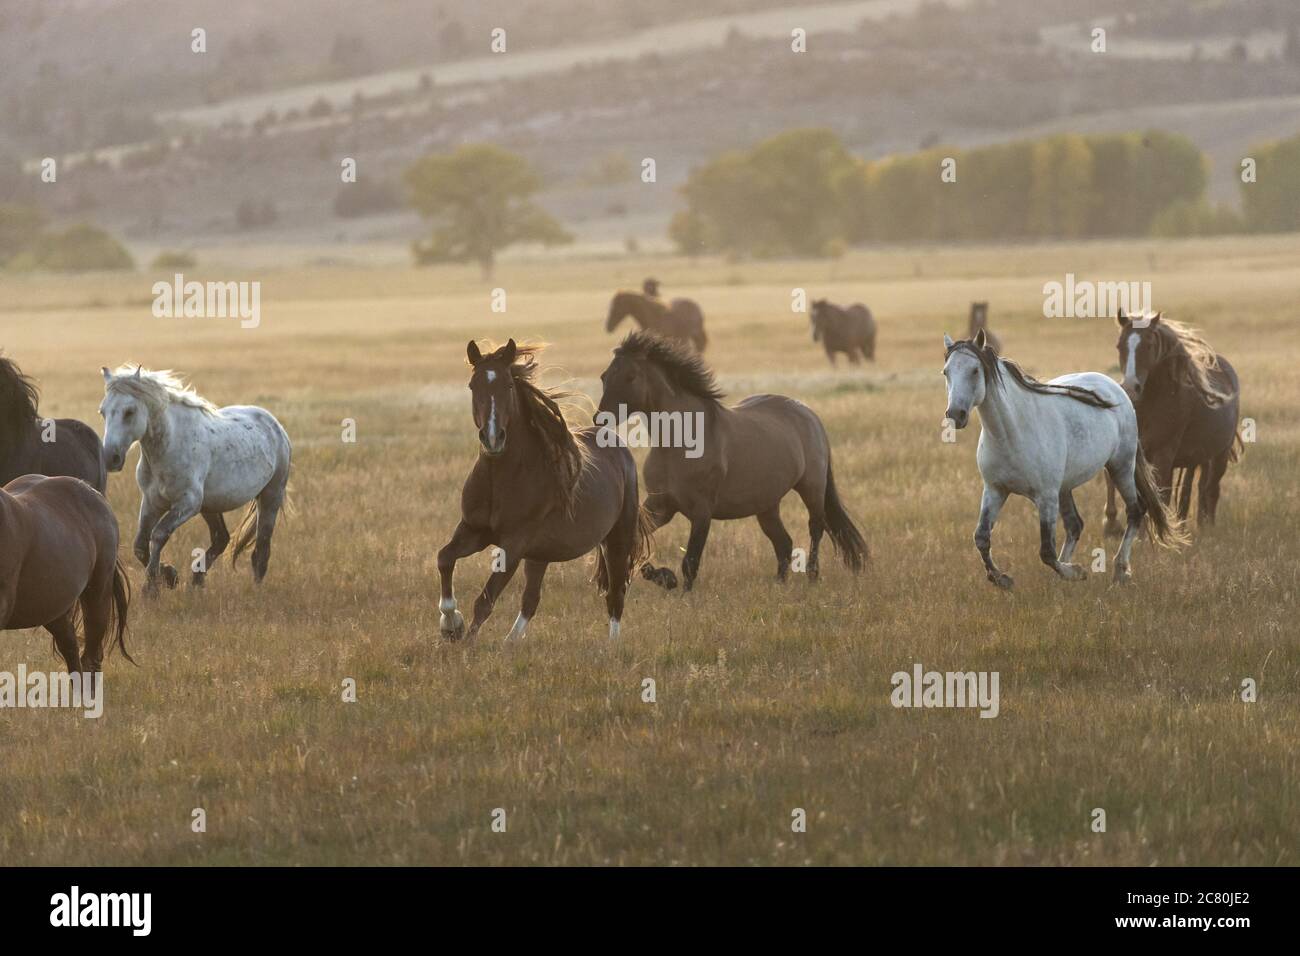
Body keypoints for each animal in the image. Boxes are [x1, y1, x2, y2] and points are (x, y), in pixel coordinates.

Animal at [98, 365, 292, 596]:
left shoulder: (187, 503)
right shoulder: (152, 502)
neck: (169, 446)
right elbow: (140, 545)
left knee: (261, 549)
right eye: (103, 412)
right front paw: (169, 575)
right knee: (221, 538)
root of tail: (276, 426)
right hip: (210, 506)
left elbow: (158, 535)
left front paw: (152, 588)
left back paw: (255, 590)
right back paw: (197, 581)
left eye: (129, 412)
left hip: (270, 496)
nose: (110, 458)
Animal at [437, 338, 650, 642]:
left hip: (616, 538)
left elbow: (485, 601)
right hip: (540, 554)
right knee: (531, 600)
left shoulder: (514, 544)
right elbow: (444, 558)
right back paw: (509, 644)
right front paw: (450, 624)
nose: (492, 438)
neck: (500, 479)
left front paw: (465, 643)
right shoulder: (473, 531)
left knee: (615, 593)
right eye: (472, 385)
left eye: (508, 385)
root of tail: (620, 449)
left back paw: (611, 645)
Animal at [597, 330, 867, 592]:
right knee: (783, 543)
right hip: (767, 505)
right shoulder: (660, 506)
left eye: (631, 376)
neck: (679, 443)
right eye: (604, 376)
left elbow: (690, 561)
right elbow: (636, 539)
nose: (601, 418)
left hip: (811, 488)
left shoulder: (702, 511)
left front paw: (682, 593)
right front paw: (663, 577)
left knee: (816, 528)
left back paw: (812, 578)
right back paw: (779, 586)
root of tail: (809, 414)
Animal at [942, 329, 1184, 588]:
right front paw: (1002, 579)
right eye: (946, 372)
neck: (1011, 432)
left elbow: (1046, 551)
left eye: (974, 370)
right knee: (1075, 525)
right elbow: (982, 537)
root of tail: (1117, 389)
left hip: (1120, 467)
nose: (955, 414)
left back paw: (1119, 571)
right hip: (1065, 487)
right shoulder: (995, 490)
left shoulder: (1046, 496)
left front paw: (1076, 571)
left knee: (1135, 510)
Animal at [1103, 311, 1241, 536]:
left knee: (1211, 490)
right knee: (1195, 490)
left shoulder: (1163, 455)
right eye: (1119, 345)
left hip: (1219, 455)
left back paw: (1207, 527)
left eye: (1149, 345)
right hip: (1198, 458)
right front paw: (1111, 525)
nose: (1130, 387)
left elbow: (1159, 495)